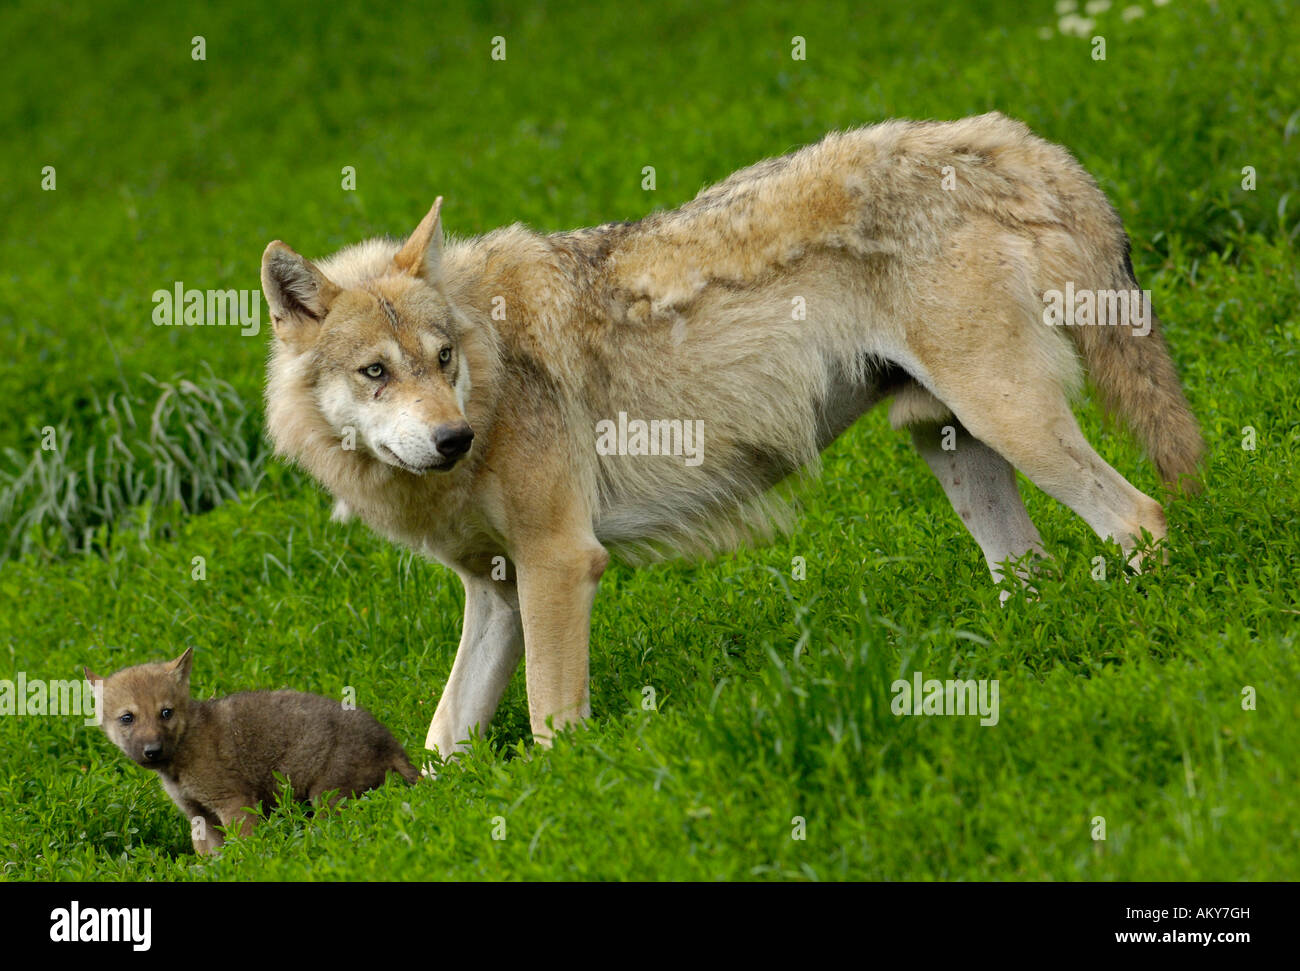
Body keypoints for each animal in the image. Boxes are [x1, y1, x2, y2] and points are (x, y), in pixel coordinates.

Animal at [85, 648, 418, 854]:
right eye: (127, 718)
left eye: (166, 713)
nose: (152, 750)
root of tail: (391, 743)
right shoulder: (198, 813)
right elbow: (208, 855)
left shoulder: (233, 802)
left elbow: (245, 845)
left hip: (327, 796)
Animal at [260, 112, 1204, 765]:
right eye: (376, 372)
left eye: (441, 358)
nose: (451, 439)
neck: (491, 372)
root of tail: (998, 136)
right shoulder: (497, 590)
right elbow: (441, 742)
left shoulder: (560, 562)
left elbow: (554, 724)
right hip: (952, 446)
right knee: (1034, 569)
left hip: (1012, 422)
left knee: (1143, 518)